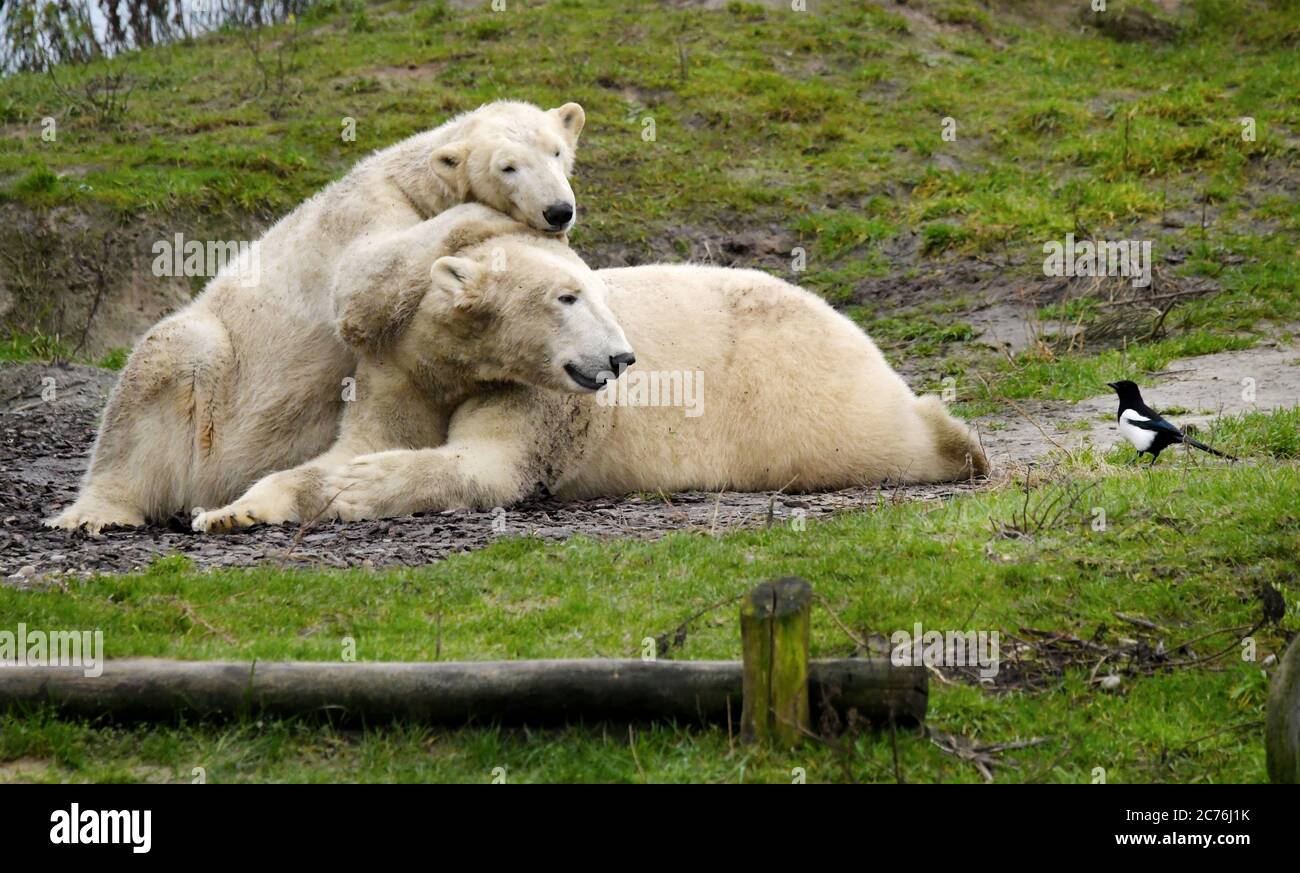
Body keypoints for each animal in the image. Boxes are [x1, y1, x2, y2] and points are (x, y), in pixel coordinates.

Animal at [46, 100, 586, 534]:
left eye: (556, 152)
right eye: (508, 166)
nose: (558, 210)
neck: (412, 182)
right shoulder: (368, 212)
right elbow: (360, 291)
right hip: (215, 399)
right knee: (168, 359)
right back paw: (98, 511)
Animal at [191, 211, 987, 531]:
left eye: (596, 290)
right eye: (568, 296)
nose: (623, 358)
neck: (455, 362)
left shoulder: (534, 392)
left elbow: (487, 465)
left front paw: (359, 488)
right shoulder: (398, 366)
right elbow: (348, 446)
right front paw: (230, 511)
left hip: (801, 399)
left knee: (877, 434)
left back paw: (957, 442)